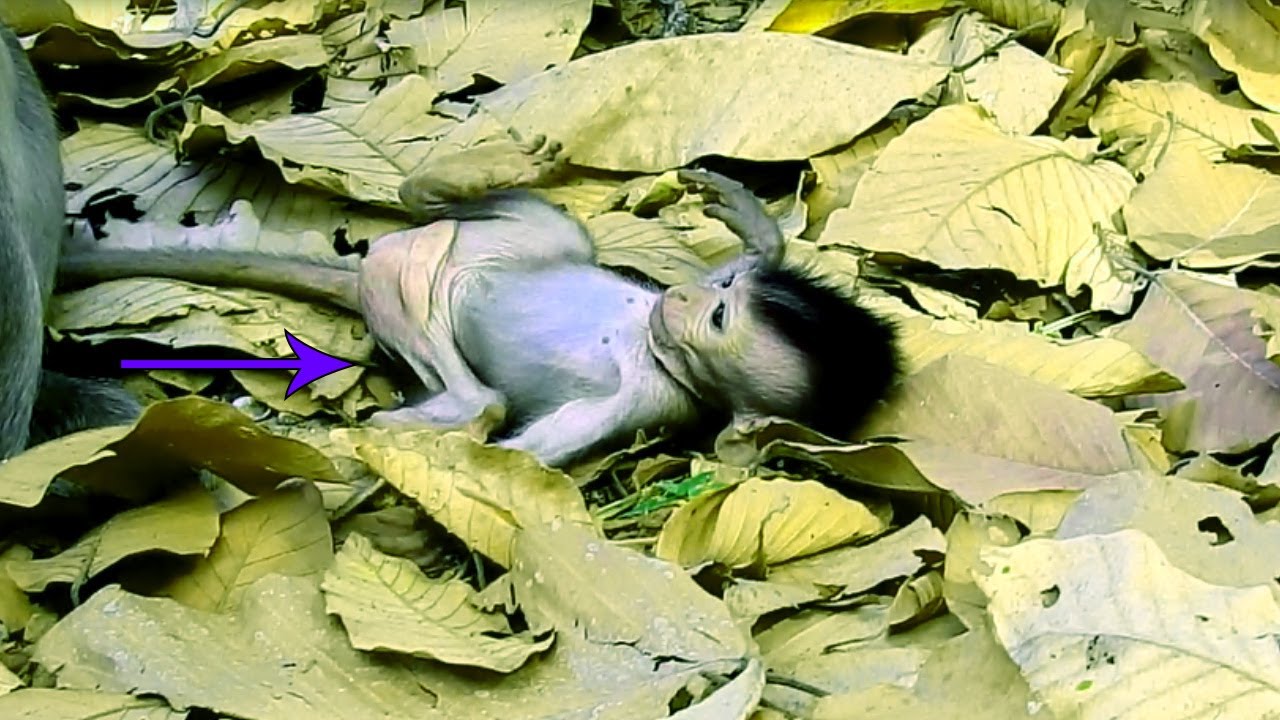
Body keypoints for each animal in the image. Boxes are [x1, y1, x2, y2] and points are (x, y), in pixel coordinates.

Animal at [58, 137, 898, 466]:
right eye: (718, 297)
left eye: (719, 320)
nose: (685, 296)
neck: (654, 345)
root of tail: (366, 273)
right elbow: (768, 255)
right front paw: (753, 225)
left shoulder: (642, 408)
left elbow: (520, 458)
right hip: (498, 242)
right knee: (538, 228)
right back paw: (480, 173)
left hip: (410, 310)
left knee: (472, 388)